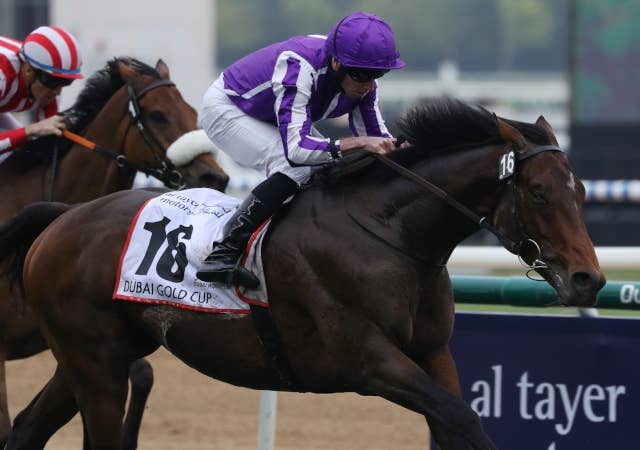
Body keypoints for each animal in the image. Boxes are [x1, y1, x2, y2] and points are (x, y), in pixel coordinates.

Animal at [0, 99, 604, 449]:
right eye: (539, 192)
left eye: (579, 192)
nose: (588, 280)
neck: (391, 233)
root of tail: (63, 217)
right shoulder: (367, 360)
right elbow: (460, 419)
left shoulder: (433, 354)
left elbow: (461, 421)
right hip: (96, 361)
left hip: (95, 356)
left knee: (28, 427)